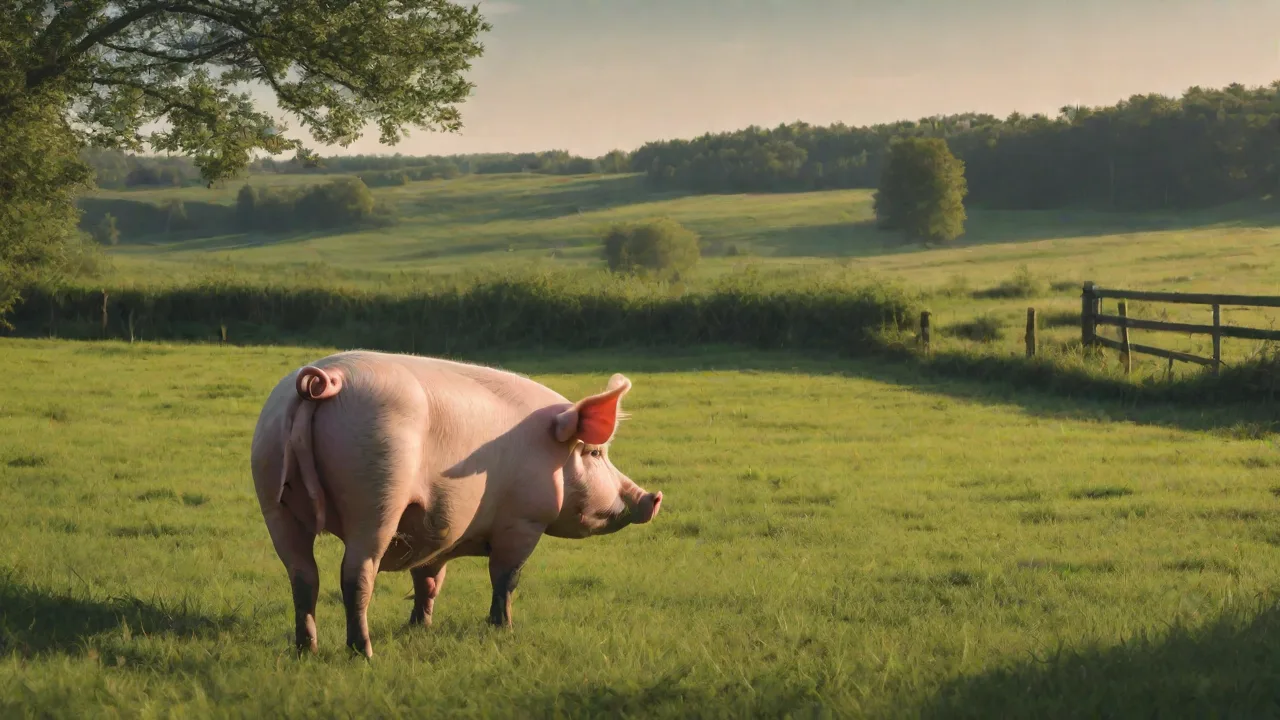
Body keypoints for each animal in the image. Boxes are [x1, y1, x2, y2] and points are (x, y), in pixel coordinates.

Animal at [250, 350, 662, 658]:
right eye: (595, 453)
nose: (653, 497)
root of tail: (328, 379)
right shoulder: (523, 521)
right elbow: (505, 577)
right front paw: (503, 628)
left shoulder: (434, 530)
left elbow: (429, 580)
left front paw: (419, 627)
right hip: (376, 493)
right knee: (355, 575)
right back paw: (363, 653)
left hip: (271, 492)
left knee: (302, 575)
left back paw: (306, 650)